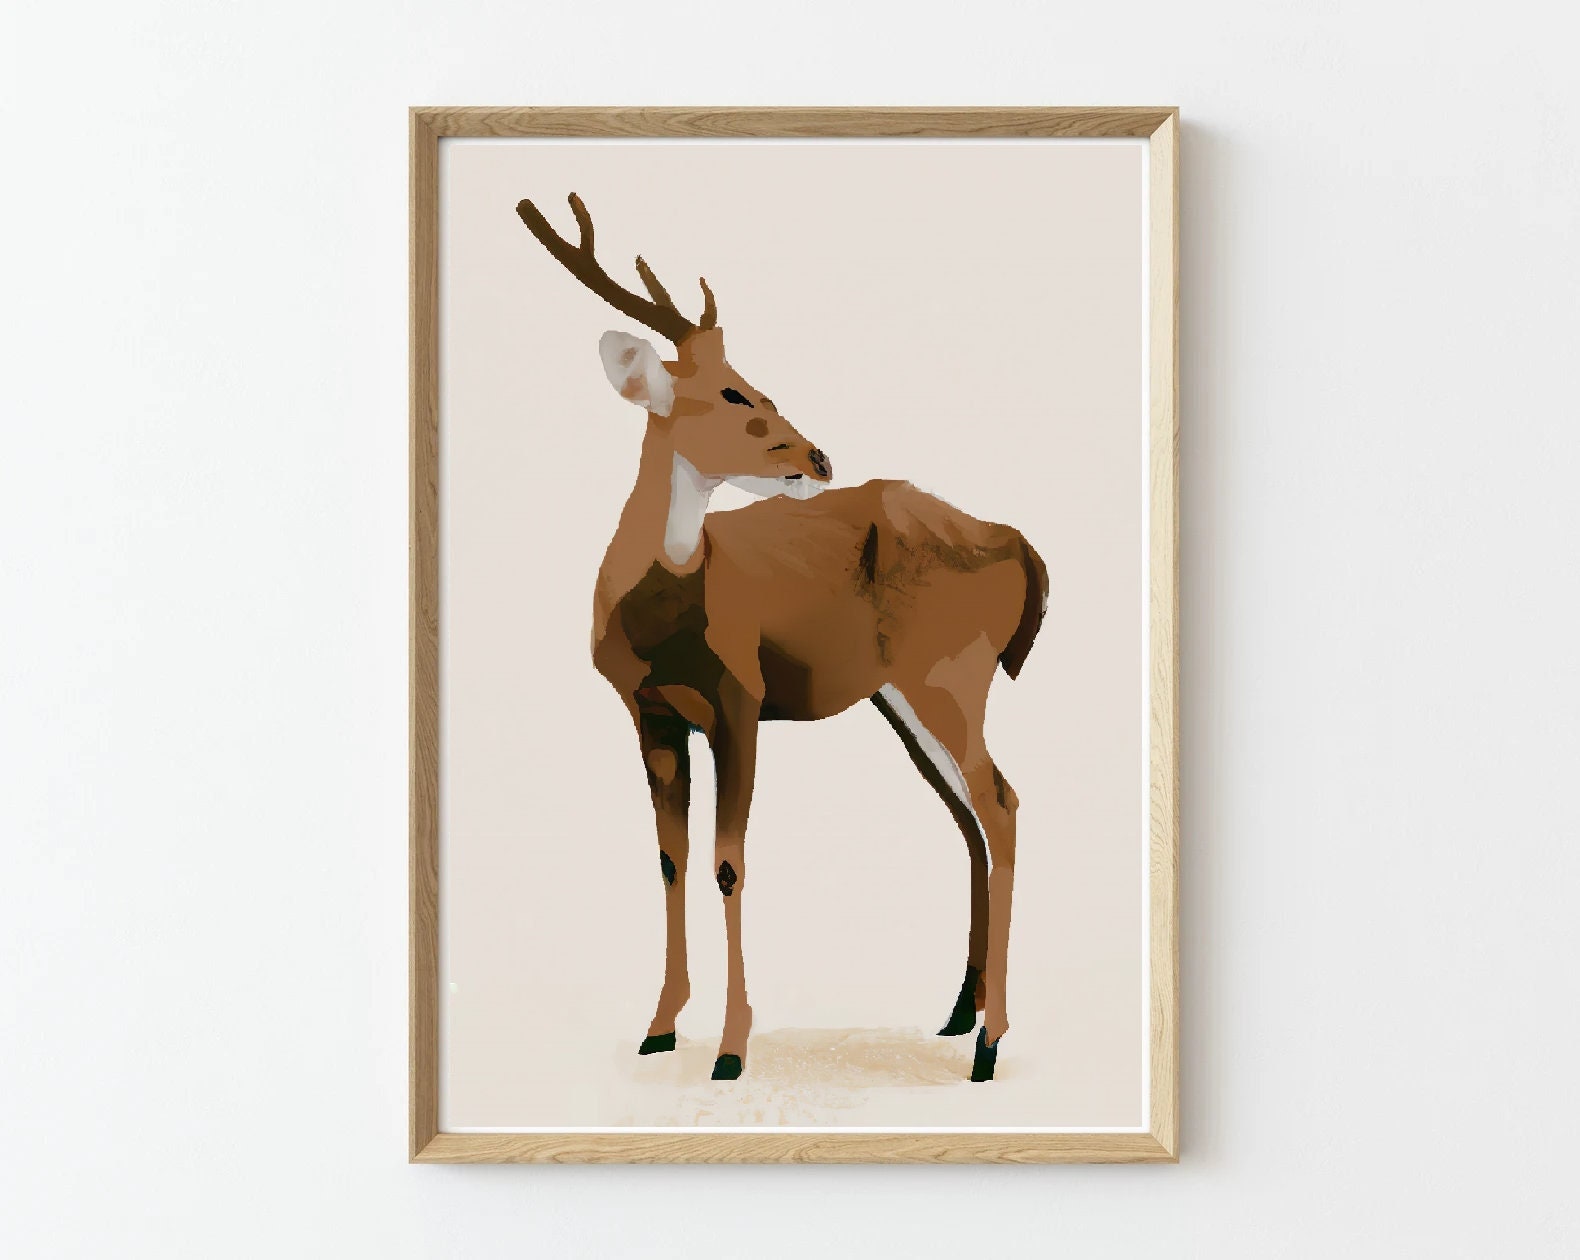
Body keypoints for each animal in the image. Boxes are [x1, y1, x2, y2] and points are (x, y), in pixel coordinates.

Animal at [516, 194, 1049, 1084]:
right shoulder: (649, 712)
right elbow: (670, 857)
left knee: (1002, 803)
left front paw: (732, 1050)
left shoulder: (740, 698)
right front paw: (659, 1026)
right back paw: (956, 1014)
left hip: (952, 677)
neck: (664, 615)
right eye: (733, 394)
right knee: (968, 817)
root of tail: (1019, 544)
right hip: (901, 699)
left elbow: (728, 863)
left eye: (754, 382)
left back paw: (990, 1042)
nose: (819, 457)